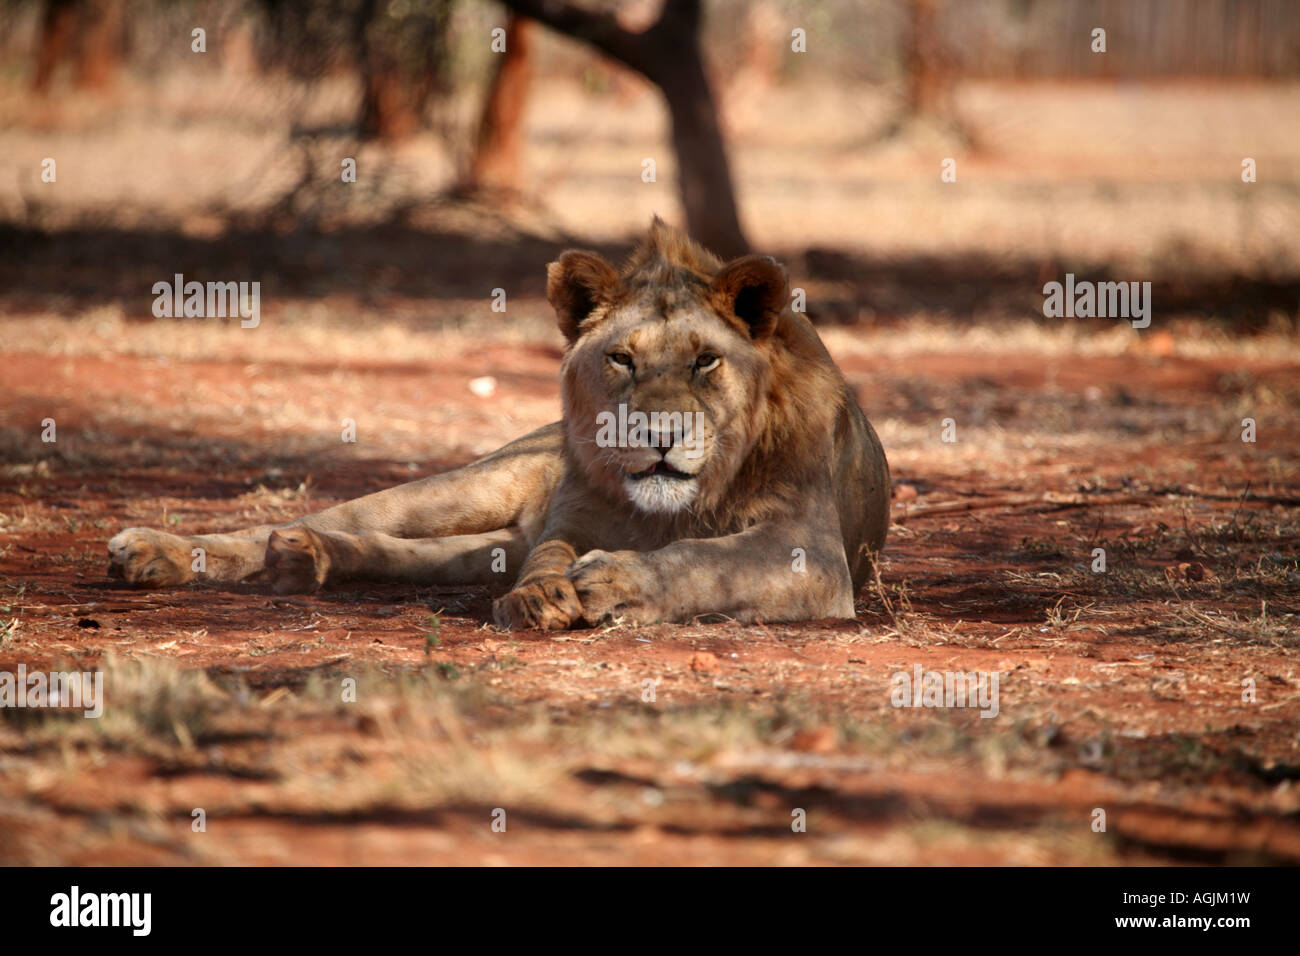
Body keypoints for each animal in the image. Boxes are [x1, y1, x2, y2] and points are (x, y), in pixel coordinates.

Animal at [107, 219, 891, 629]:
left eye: (705, 362)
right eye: (622, 359)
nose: (657, 437)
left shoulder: (812, 555)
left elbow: (702, 558)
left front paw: (614, 582)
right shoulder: (569, 520)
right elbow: (554, 557)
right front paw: (543, 595)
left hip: (489, 532)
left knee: (405, 550)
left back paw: (306, 560)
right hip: (473, 485)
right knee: (327, 518)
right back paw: (164, 550)